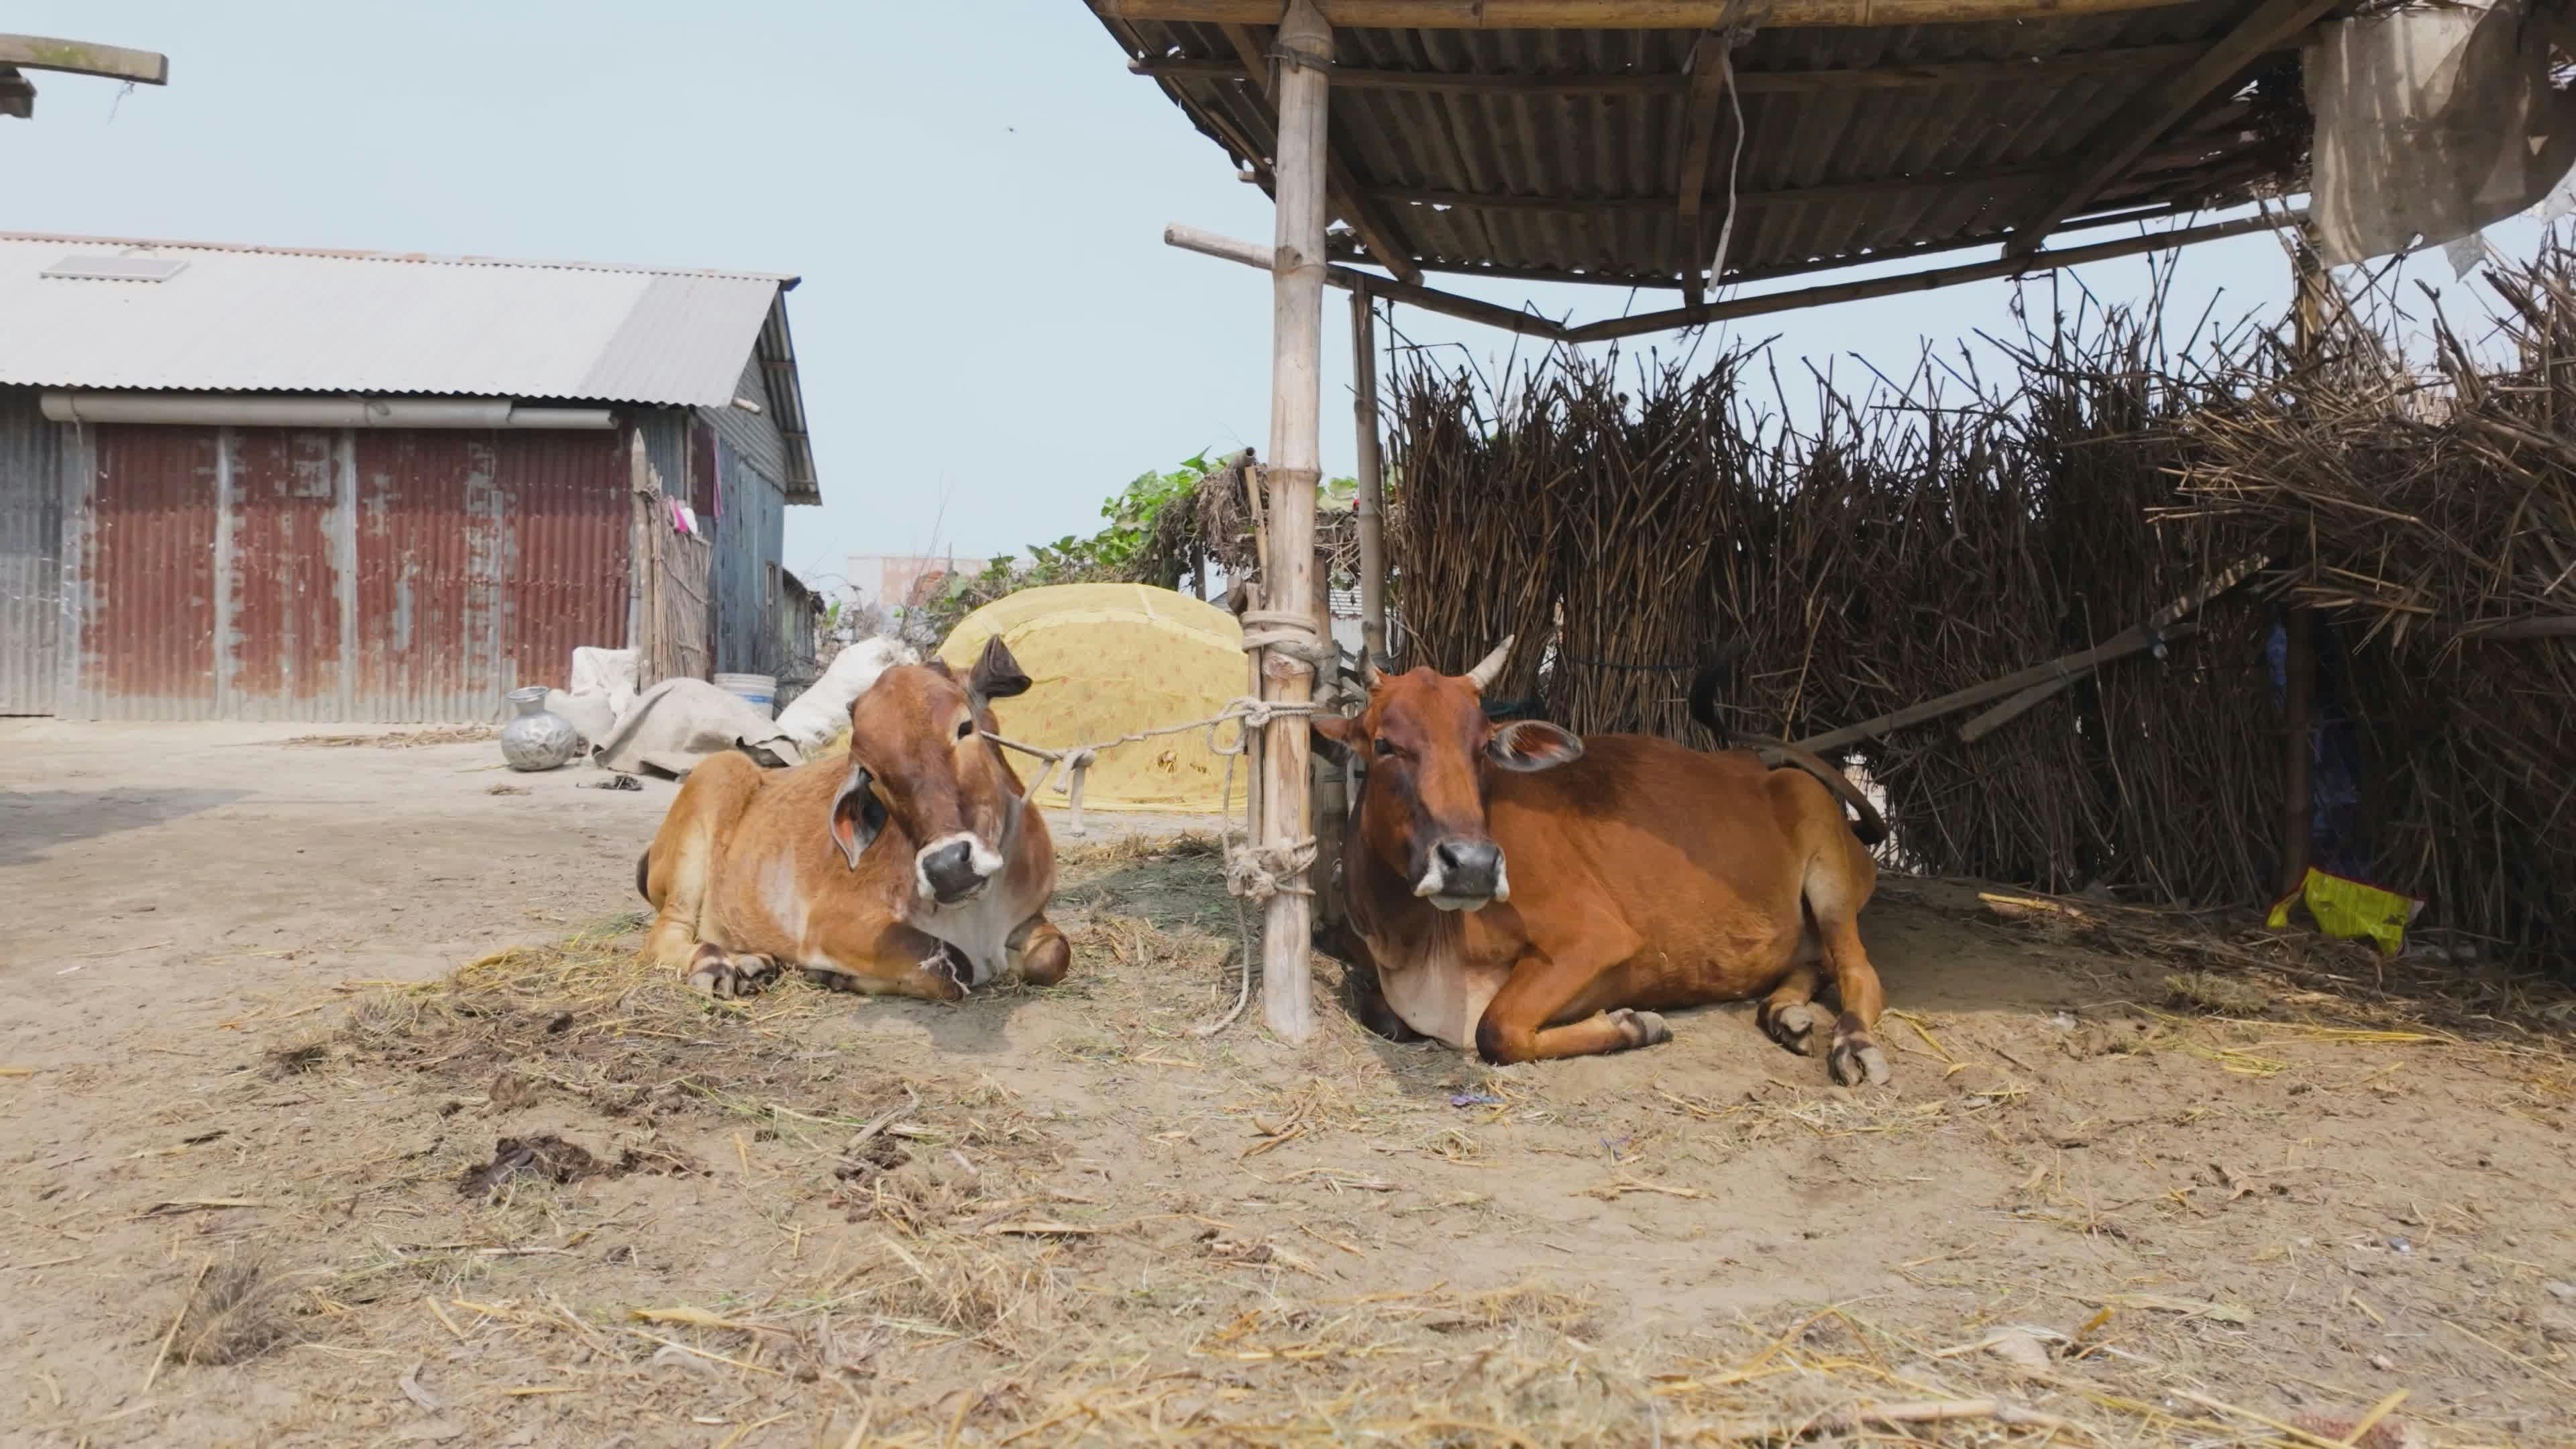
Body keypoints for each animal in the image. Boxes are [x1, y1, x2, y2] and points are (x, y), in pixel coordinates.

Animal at [635, 636, 1072, 1002]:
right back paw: (716, 965)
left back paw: (753, 964)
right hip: (715, 781)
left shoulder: (1031, 916)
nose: (948, 868)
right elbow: (954, 967)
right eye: (871, 772)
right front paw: (835, 976)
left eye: (965, 726)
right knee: (665, 935)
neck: (977, 913)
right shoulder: (832, 925)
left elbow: (1053, 955)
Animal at [1313, 637, 1895, 1084]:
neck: (1415, 941)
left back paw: (1853, 1043)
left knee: (1858, 969)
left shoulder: (1595, 937)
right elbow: (1385, 1015)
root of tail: (1759, 768)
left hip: (1828, 871)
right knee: (1816, 963)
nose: (1473, 865)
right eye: (1384, 744)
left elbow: (1496, 1030)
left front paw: (1634, 1025)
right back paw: (1784, 1013)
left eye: (1483, 749)